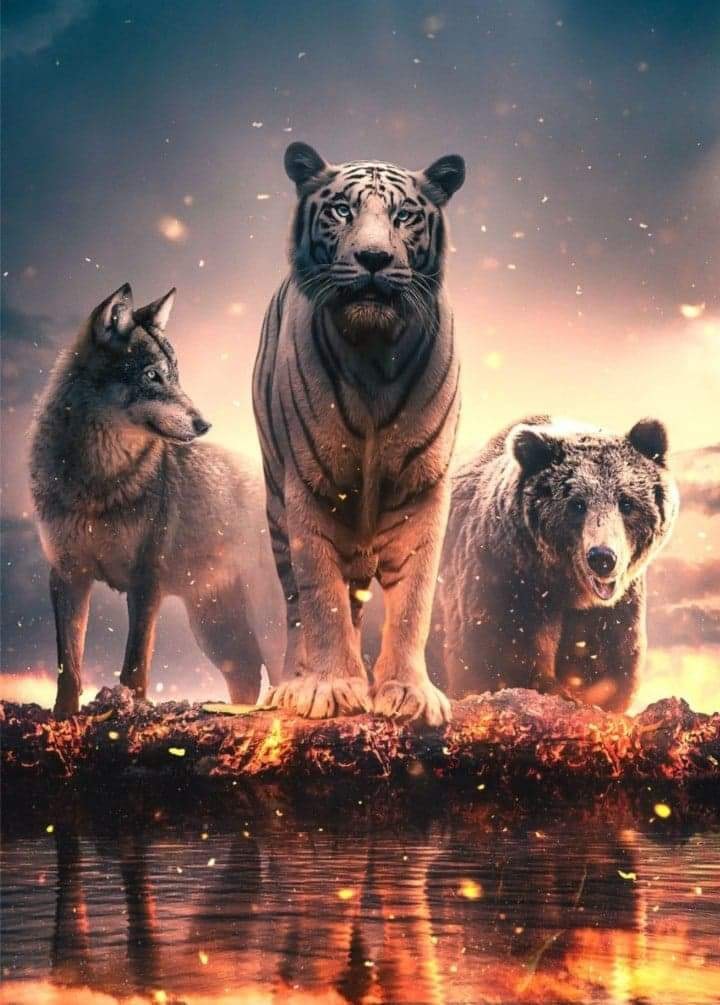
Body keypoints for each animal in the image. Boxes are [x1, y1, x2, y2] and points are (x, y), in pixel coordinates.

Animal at [252, 142, 465, 725]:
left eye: (404, 215)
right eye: (342, 210)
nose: (373, 258)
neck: (373, 356)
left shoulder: (423, 489)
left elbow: (414, 602)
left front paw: (410, 692)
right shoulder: (310, 487)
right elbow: (321, 598)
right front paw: (328, 686)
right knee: (297, 603)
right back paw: (289, 684)